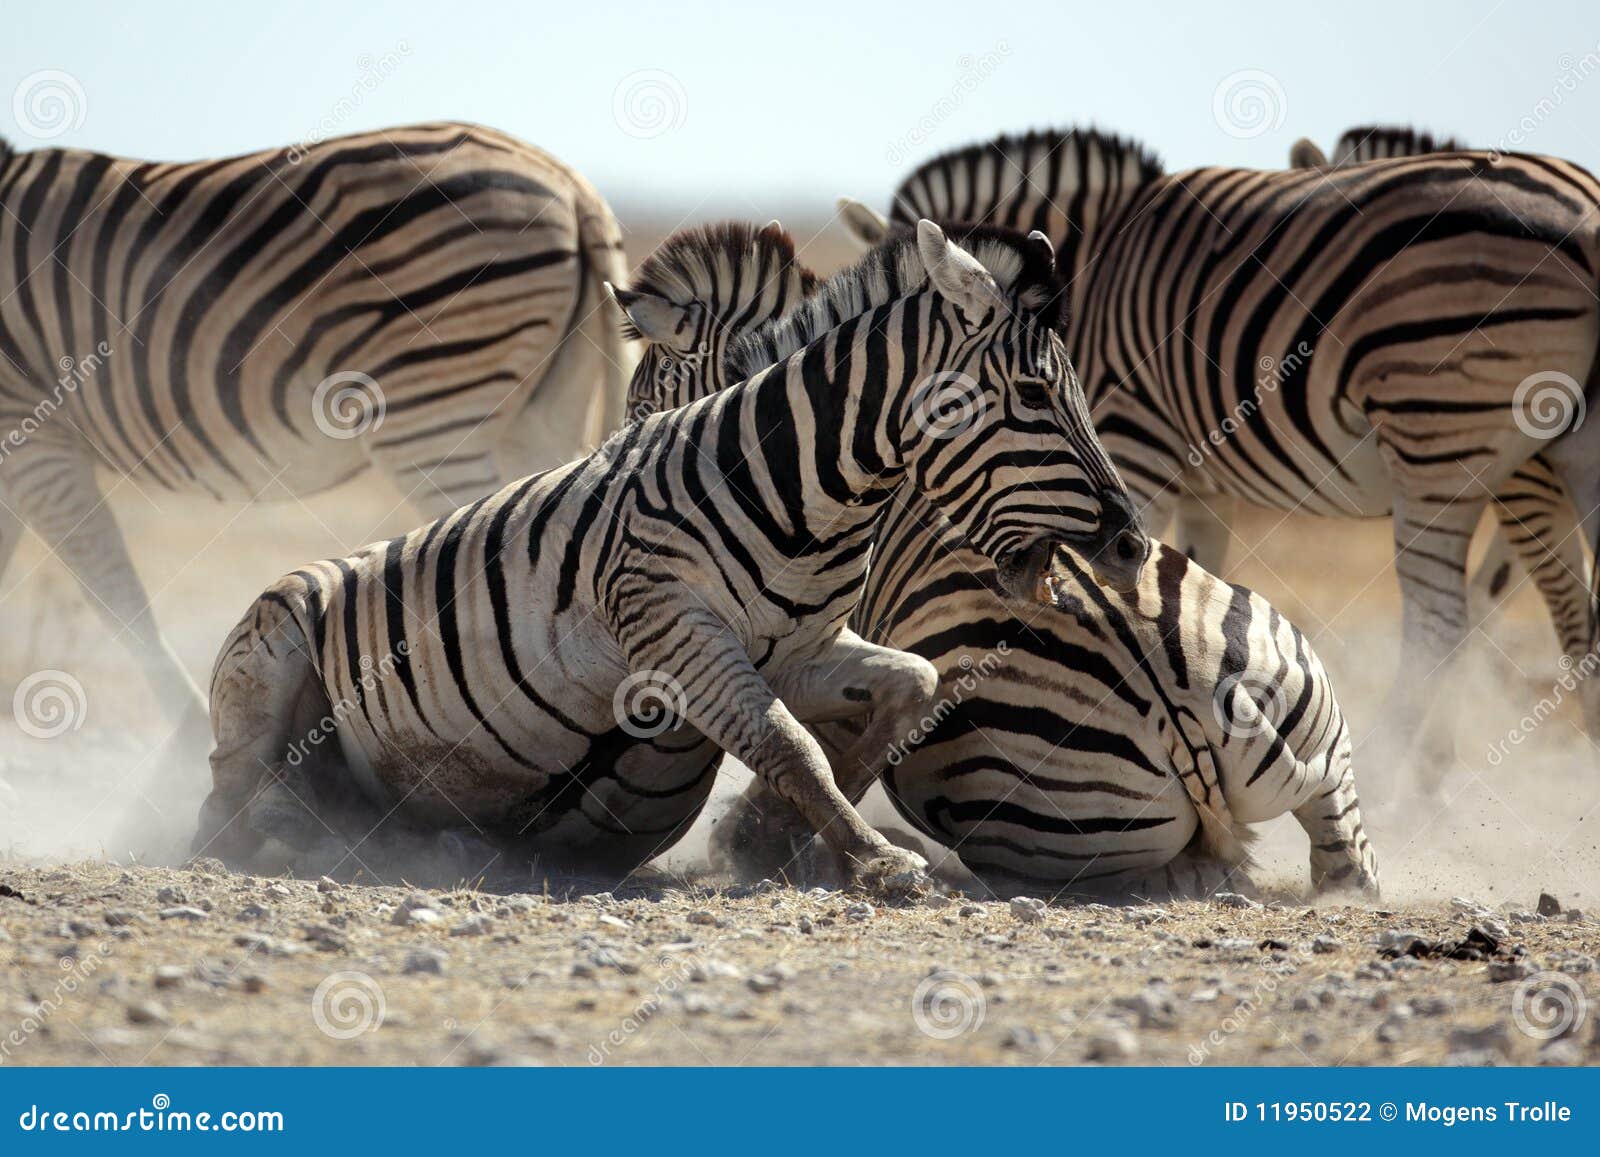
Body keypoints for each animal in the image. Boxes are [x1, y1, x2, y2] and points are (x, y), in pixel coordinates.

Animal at [0, 121, 630, 754]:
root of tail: (571, 185)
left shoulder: (28, 429)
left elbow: (113, 590)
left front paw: (186, 743)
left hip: (430, 409)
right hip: (544, 410)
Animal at [193, 220, 1151, 893]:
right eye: (1033, 393)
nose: (1133, 544)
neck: (804, 493)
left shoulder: (796, 650)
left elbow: (906, 689)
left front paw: (782, 836)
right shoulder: (677, 634)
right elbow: (788, 742)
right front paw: (873, 858)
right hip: (273, 651)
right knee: (227, 795)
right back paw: (284, 834)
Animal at [622, 222, 1379, 898]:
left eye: (641, 404)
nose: (1127, 549)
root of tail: (1185, 710)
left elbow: (823, 744)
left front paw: (762, 836)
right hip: (1320, 732)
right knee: (1345, 865)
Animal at [837, 127, 1600, 768]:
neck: (1094, 255)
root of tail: (1587, 213)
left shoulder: (1136, 438)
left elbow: (1132, 578)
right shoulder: (1206, 483)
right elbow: (1196, 585)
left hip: (1439, 431)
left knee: (1446, 620)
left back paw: (1395, 777)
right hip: (1548, 448)